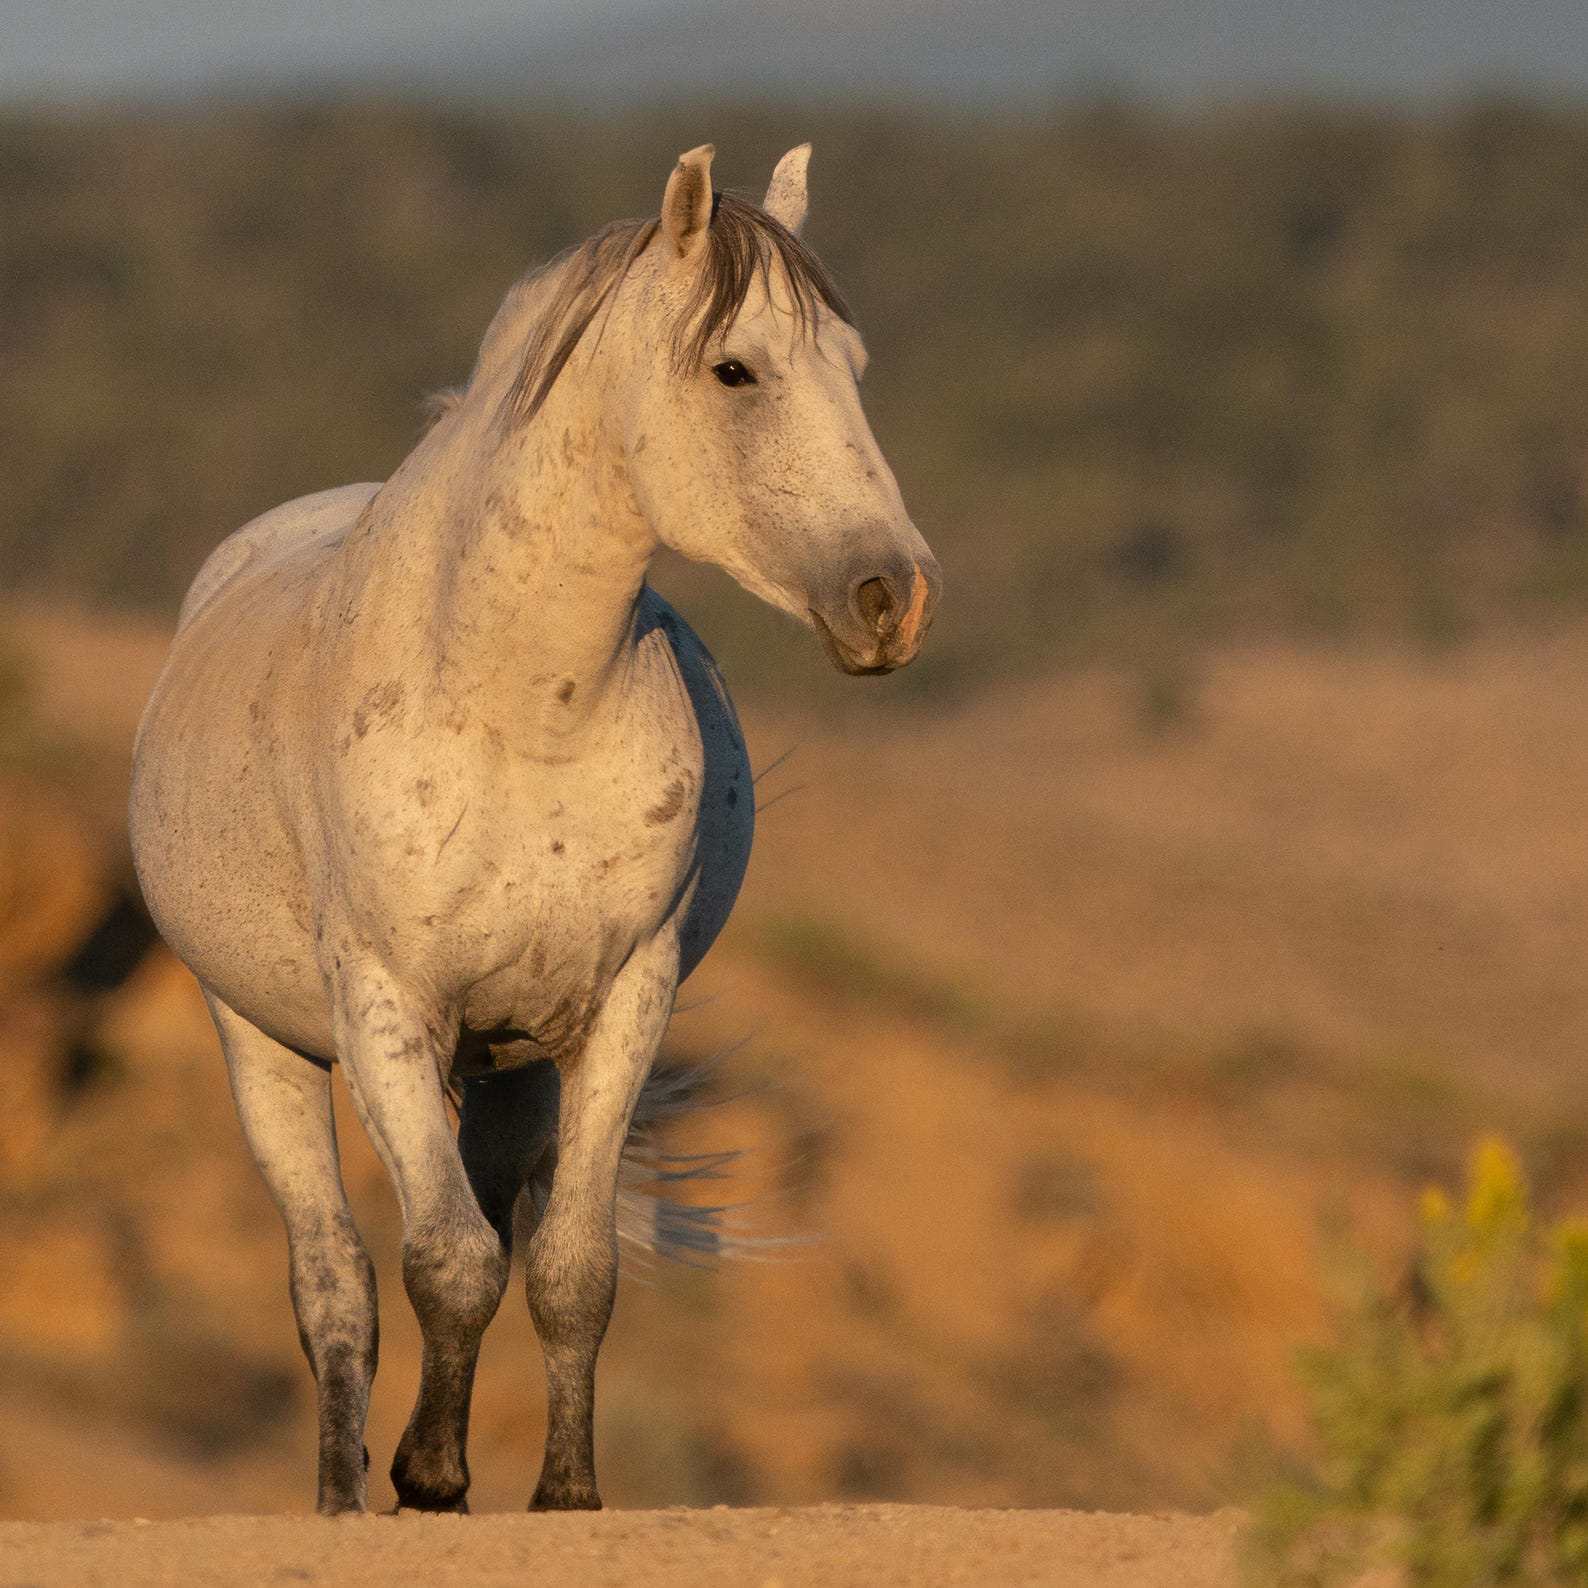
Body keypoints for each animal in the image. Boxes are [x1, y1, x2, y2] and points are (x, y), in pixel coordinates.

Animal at [129, 141, 940, 1516]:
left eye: (856, 363)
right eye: (735, 369)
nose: (891, 596)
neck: (522, 711)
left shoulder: (621, 1003)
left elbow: (566, 1269)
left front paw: (559, 1493)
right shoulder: (385, 1011)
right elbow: (441, 1262)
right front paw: (427, 1482)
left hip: (509, 1063)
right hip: (264, 1046)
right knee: (335, 1282)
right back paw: (345, 1495)